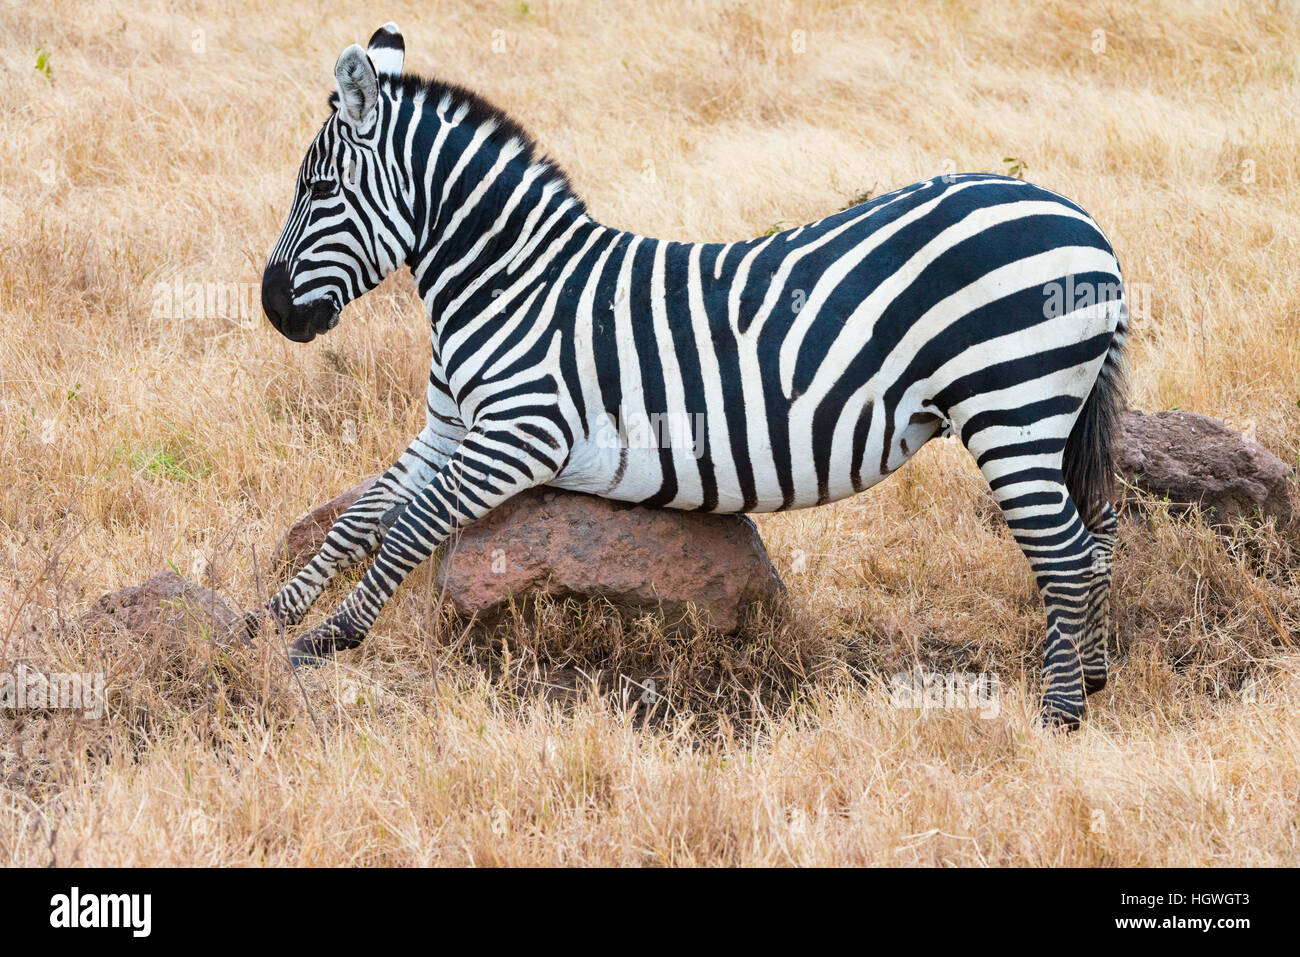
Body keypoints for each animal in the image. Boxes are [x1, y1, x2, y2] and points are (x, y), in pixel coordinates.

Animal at [251, 23, 1127, 729]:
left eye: (319, 188)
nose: (272, 308)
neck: (509, 281)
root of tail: (1081, 219)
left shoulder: (521, 434)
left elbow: (408, 525)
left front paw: (329, 637)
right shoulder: (449, 424)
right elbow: (360, 514)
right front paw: (275, 612)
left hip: (1009, 404)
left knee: (1064, 549)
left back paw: (1060, 711)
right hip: (1051, 413)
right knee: (1100, 529)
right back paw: (1091, 671)